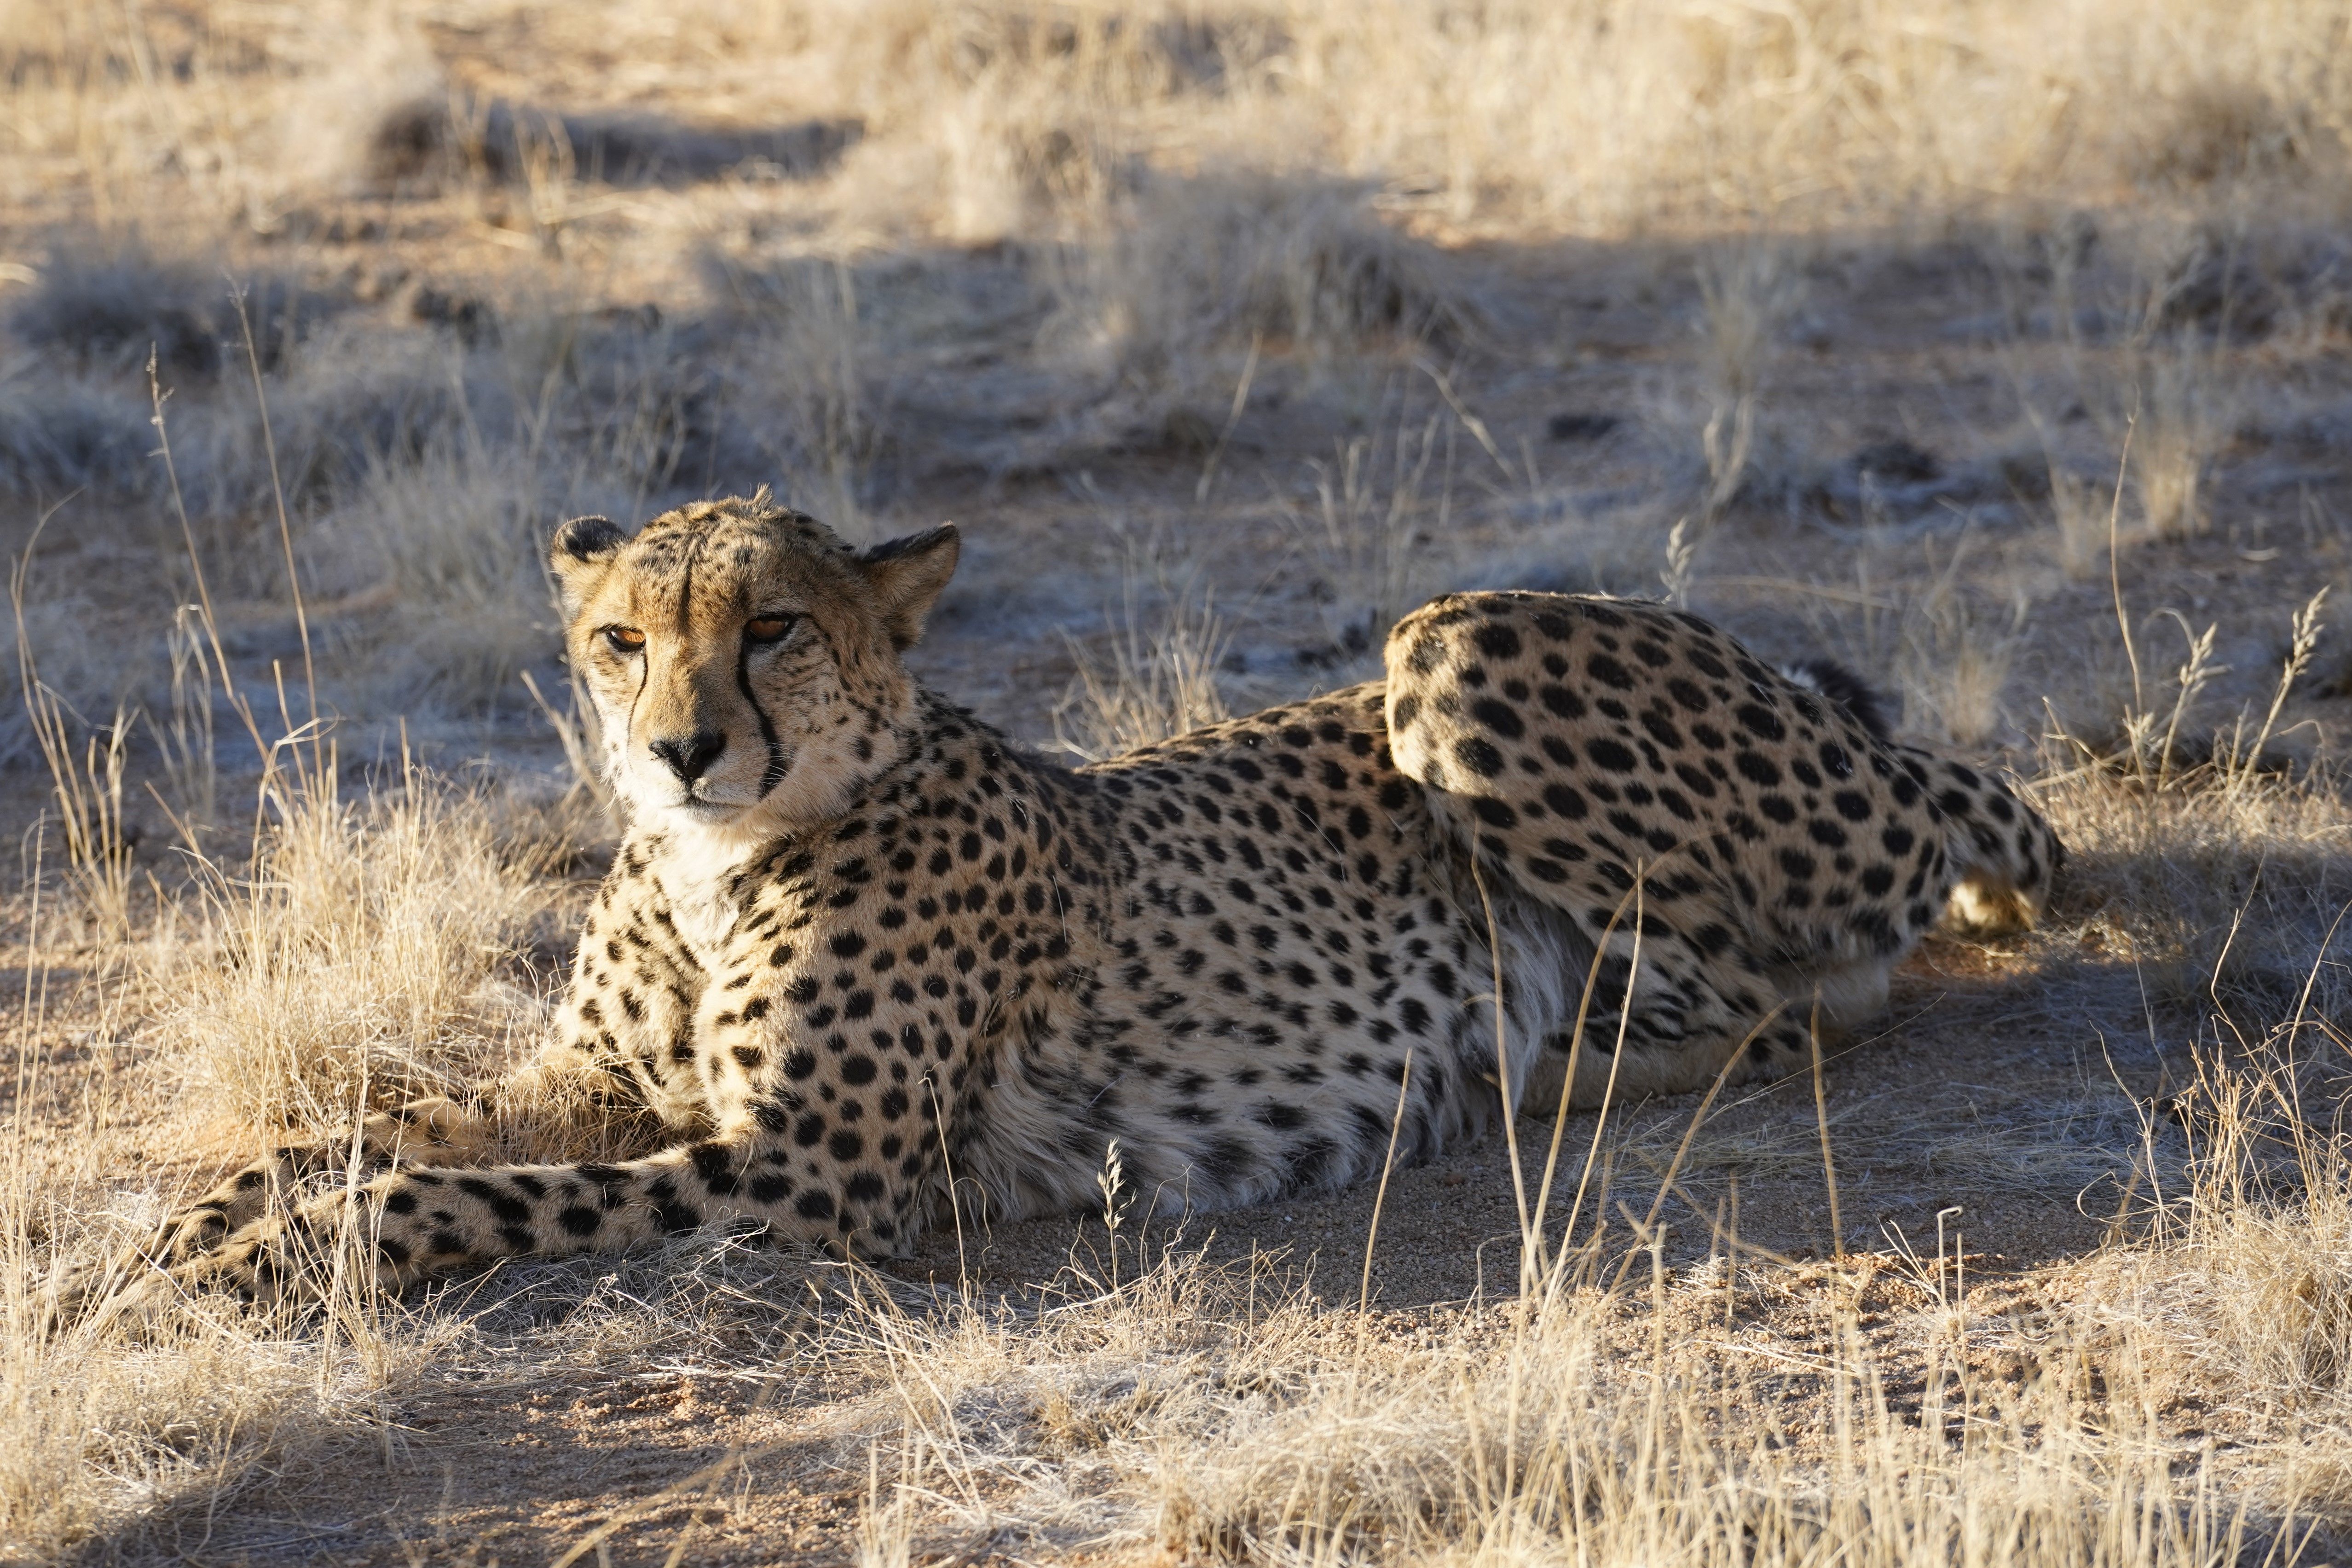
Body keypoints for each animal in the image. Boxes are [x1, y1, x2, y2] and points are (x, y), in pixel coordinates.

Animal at [56, 492, 2061, 1324]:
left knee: (1835, 959)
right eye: (619, 637)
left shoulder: (814, 1175)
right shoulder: (611, 1083)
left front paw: (273, 1254)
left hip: (1456, 641)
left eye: (770, 625)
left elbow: (458, 1188)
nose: (680, 745)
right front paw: (190, 1220)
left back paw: (1524, 1069)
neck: (718, 861)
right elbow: (372, 1121)